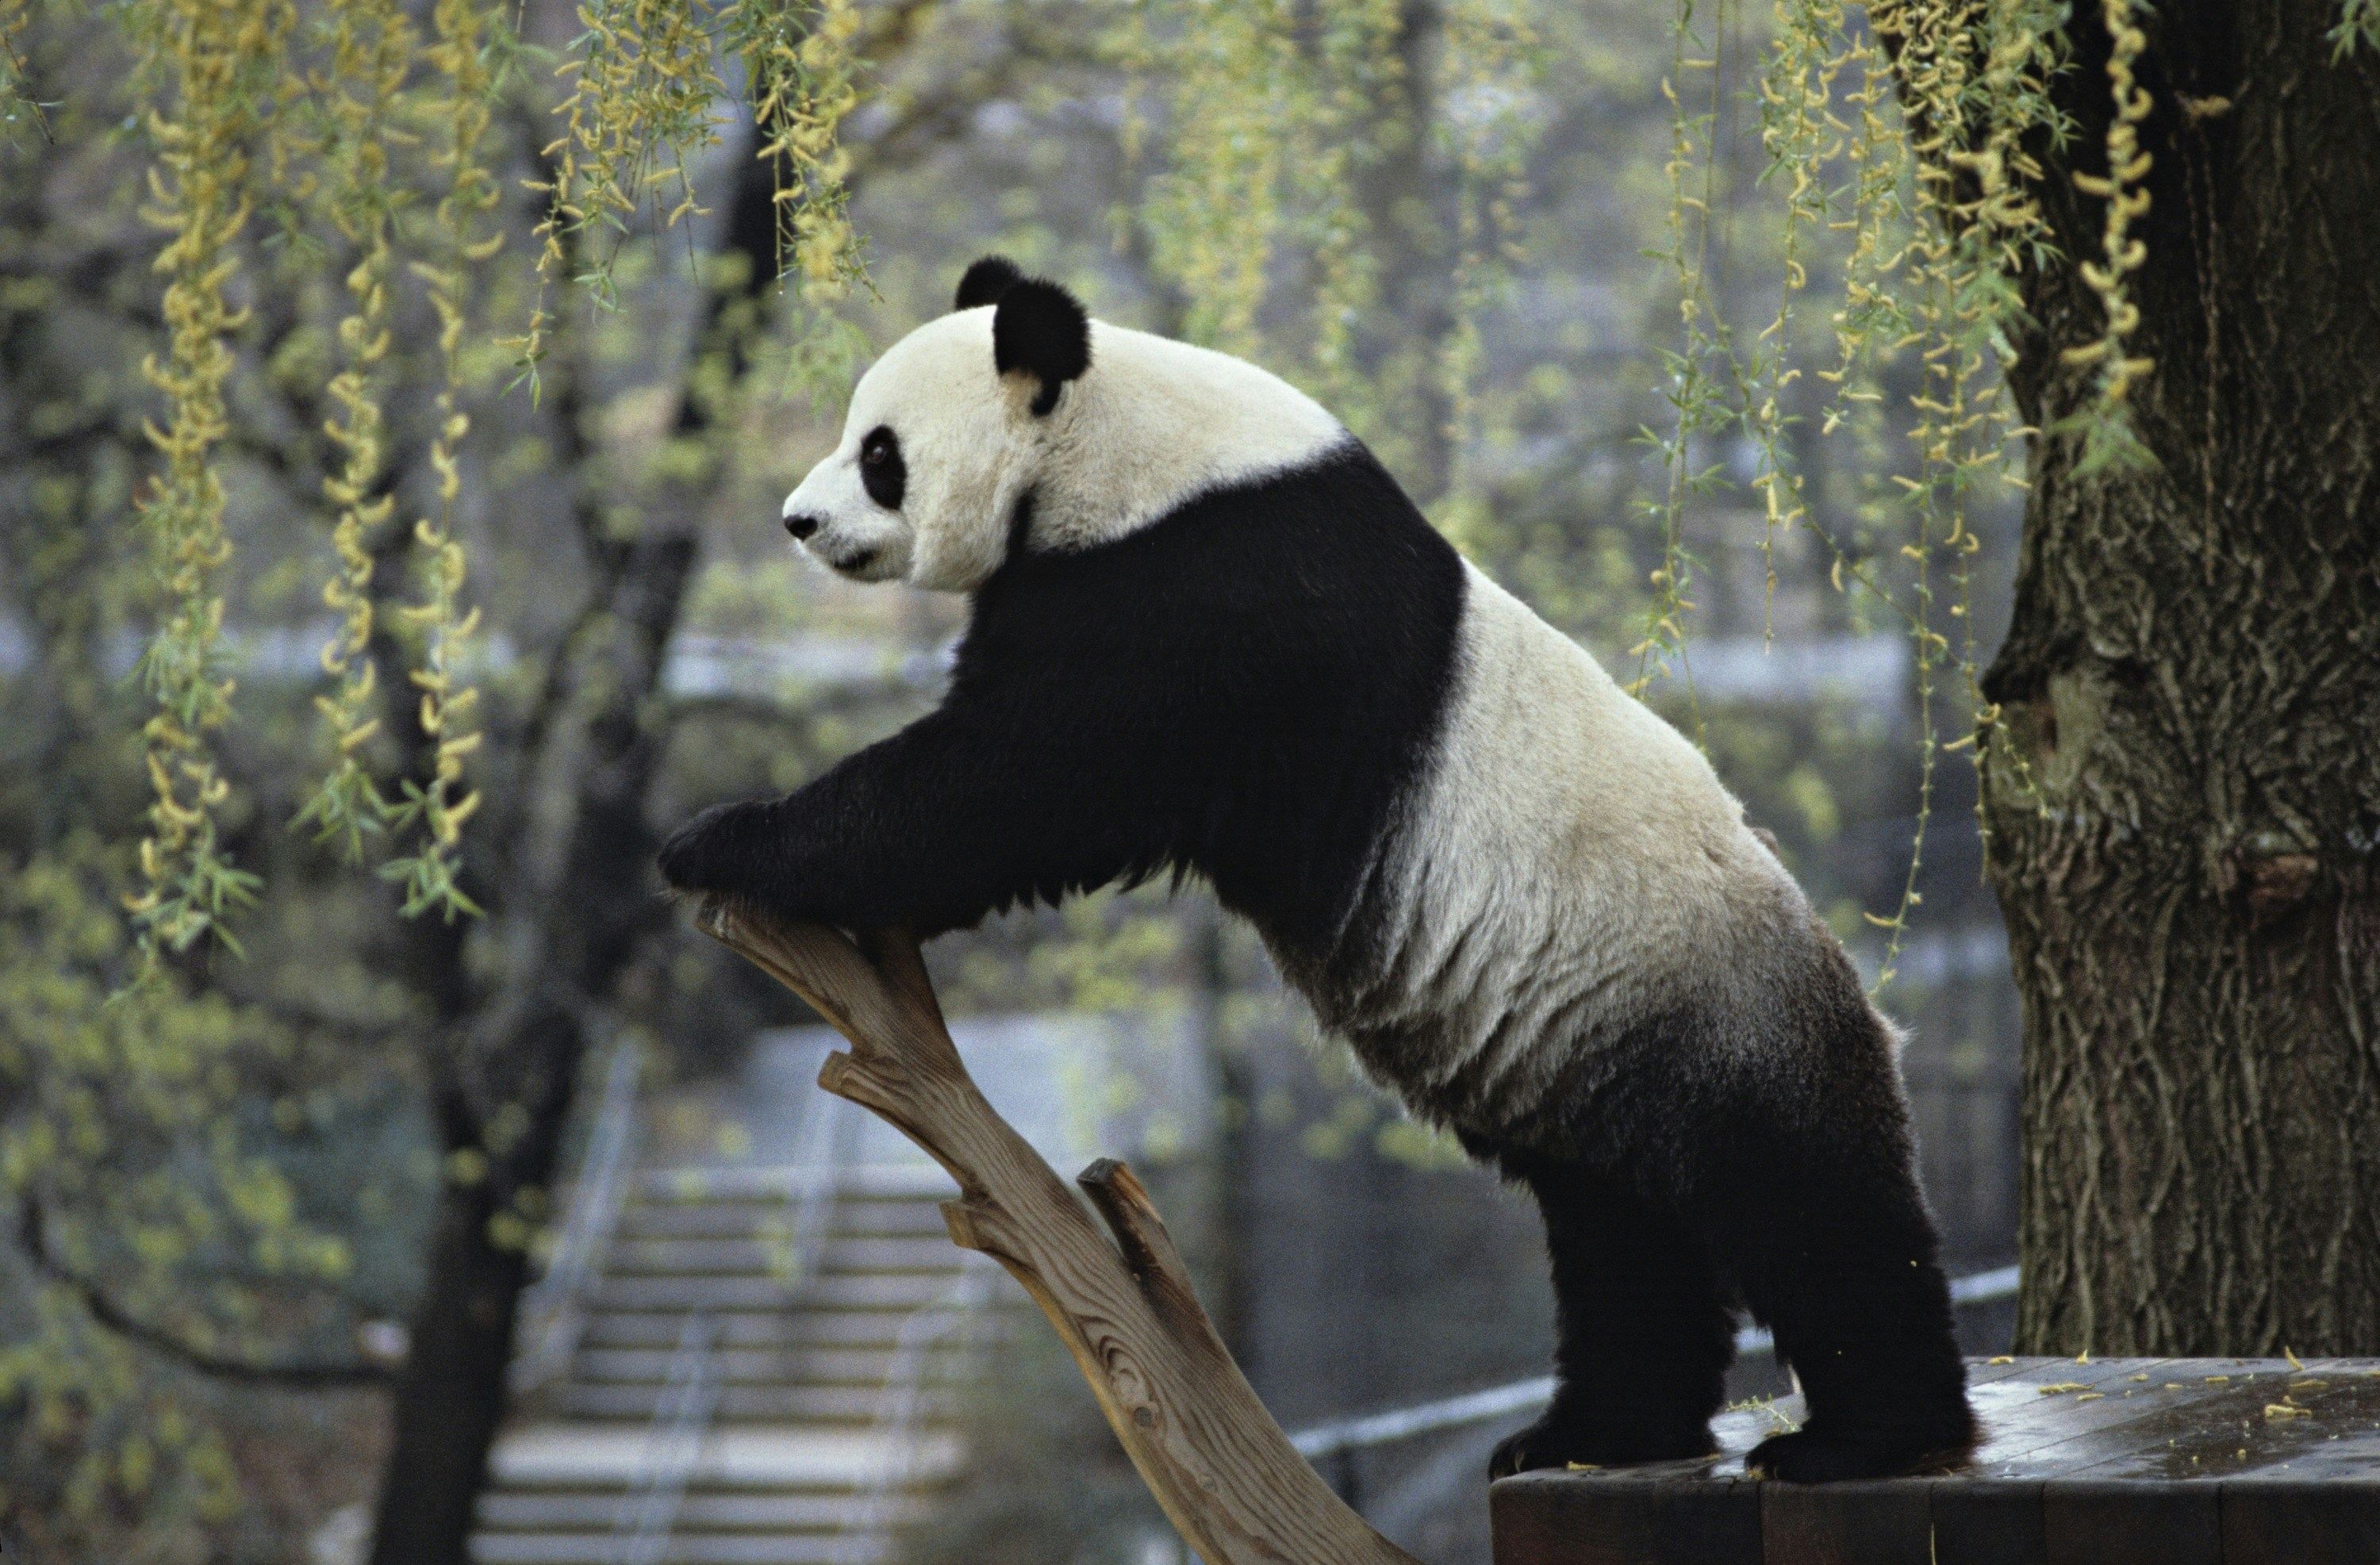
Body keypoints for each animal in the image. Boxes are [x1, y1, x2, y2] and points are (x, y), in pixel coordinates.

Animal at [659, 256, 1976, 1484]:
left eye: (879, 452)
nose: (799, 522)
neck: (1125, 443)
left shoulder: (1209, 590)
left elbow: (1015, 781)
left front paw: (720, 839)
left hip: (1713, 1012)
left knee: (1807, 1211)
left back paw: (1868, 1438)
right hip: (1598, 1056)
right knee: (1622, 1239)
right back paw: (1593, 1433)